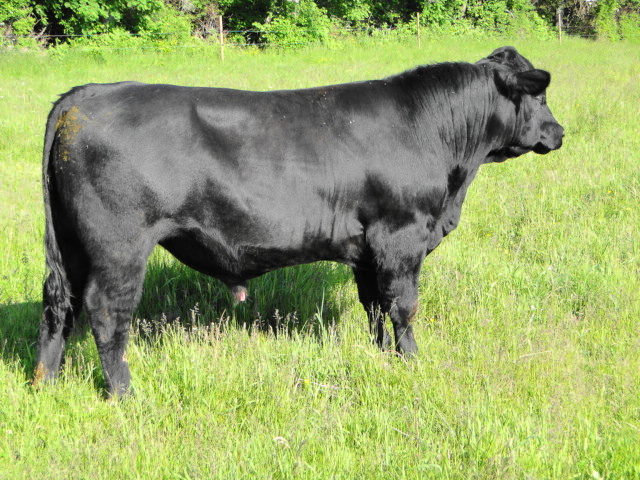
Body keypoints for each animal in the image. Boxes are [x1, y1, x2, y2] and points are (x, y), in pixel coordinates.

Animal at [35, 46, 563, 397]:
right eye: (539, 97)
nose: (559, 132)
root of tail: (84, 95)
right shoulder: (401, 235)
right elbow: (402, 305)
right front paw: (412, 361)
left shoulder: (367, 248)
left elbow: (373, 306)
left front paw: (380, 356)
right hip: (119, 246)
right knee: (106, 312)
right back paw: (125, 394)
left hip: (72, 246)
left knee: (58, 307)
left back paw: (46, 384)